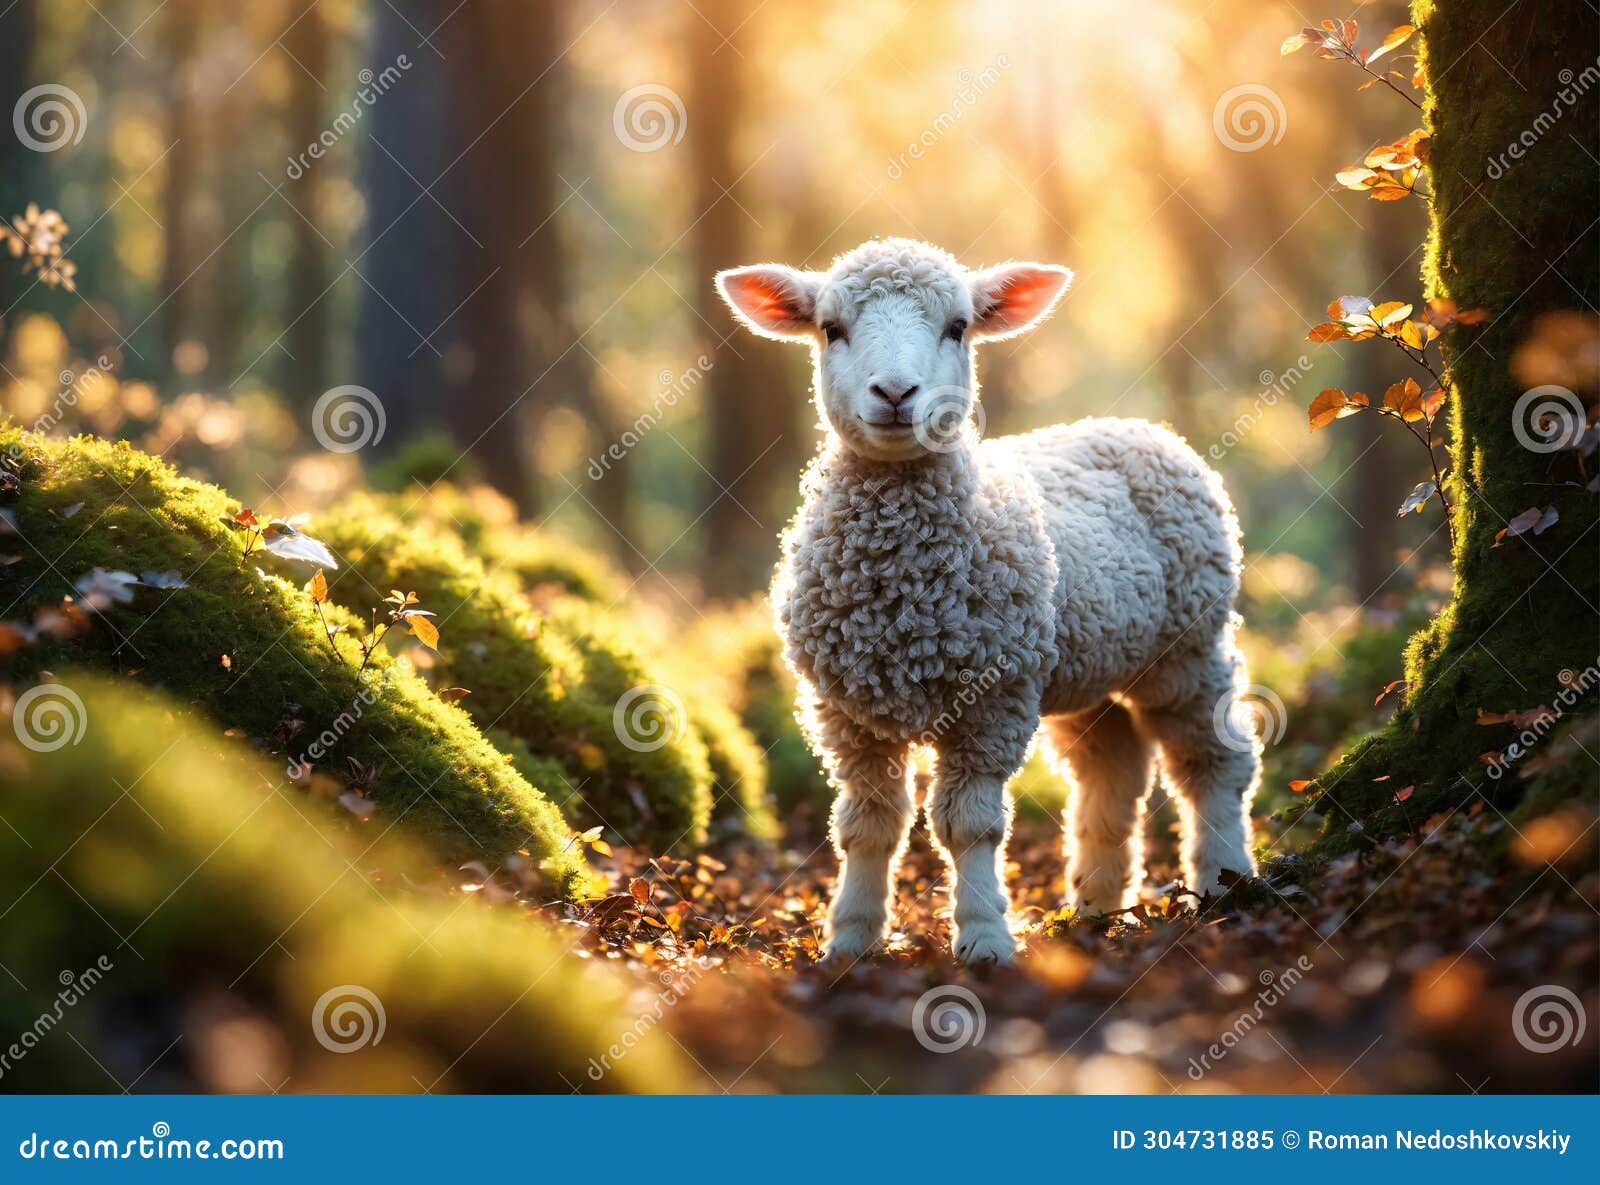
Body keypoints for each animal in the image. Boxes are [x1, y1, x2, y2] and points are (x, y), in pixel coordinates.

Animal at [717, 237, 1259, 966]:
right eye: (831, 328)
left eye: (958, 326)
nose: (895, 393)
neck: (905, 598)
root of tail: (1136, 426)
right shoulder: (846, 713)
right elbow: (868, 824)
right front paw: (851, 939)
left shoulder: (991, 699)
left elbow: (969, 825)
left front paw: (984, 938)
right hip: (1085, 665)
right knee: (1112, 772)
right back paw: (1096, 905)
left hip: (1191, 641)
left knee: (1212, 761)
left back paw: (1225, 882)